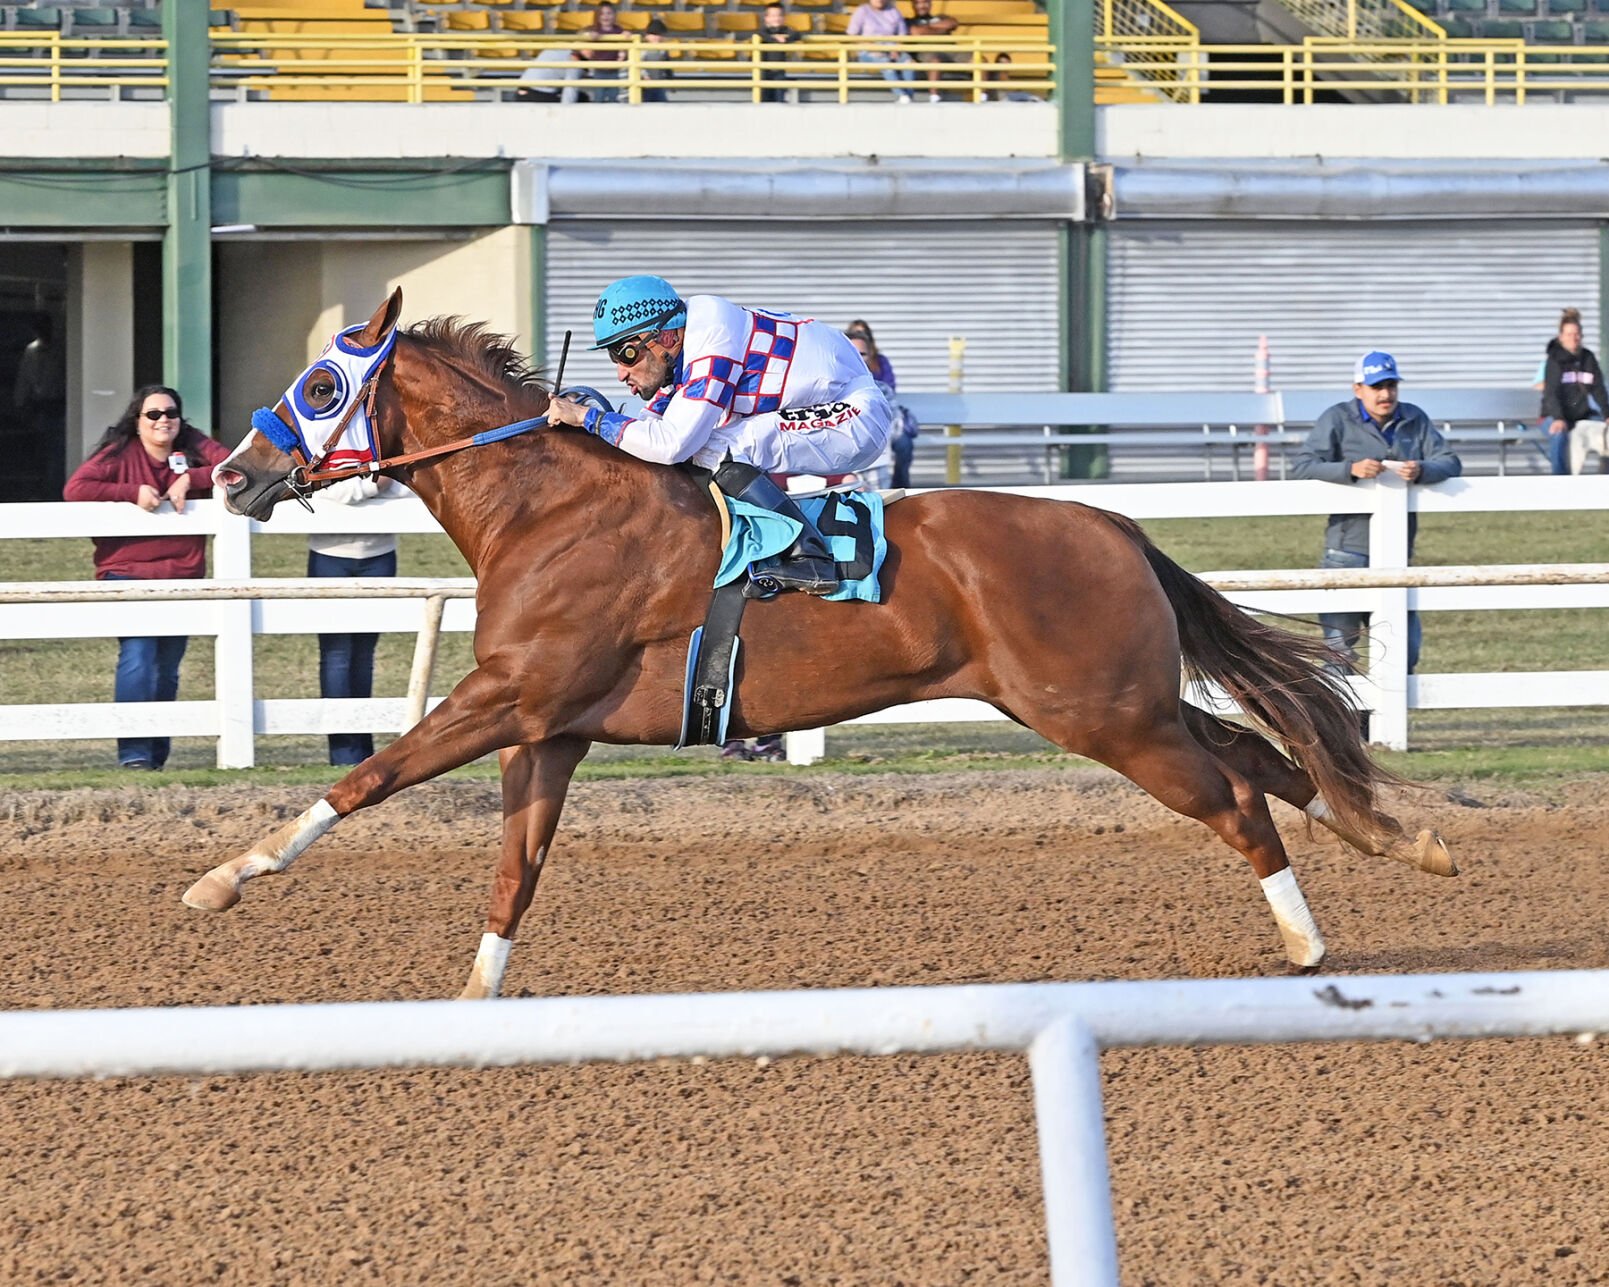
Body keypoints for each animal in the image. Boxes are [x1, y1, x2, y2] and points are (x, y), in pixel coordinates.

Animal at [189, 288, 1454, 998]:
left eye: (319, 384)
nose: (230, 475)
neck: (545, 511)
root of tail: (1114, 525)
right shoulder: (546, 728)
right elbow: (514, 871)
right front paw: (471, 1003)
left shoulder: (507, 693)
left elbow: (368, 775)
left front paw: (224, 878)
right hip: (1109, 699)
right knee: (1264, 756)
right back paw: (1405, 843)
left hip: (1103, 714)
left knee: (1234, 797)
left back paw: (1305, 946)